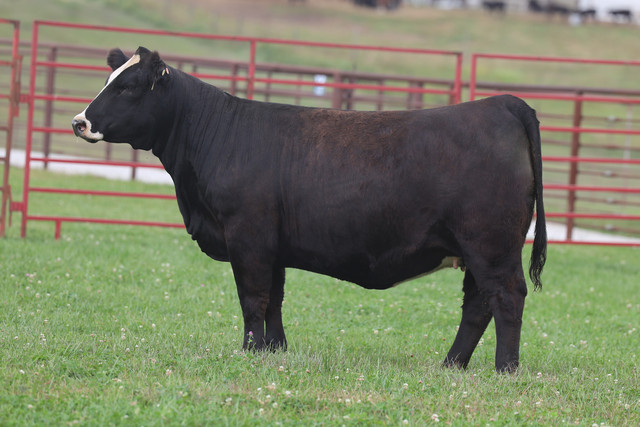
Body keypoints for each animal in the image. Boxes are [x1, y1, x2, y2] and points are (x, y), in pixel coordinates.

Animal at [72, 47, 547, 373]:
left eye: (128, 86)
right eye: (109, 79)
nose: (79, 121)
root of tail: (502, 103)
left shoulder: (247, 236)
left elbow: (253, 298)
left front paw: (249, 350)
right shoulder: (272, 246)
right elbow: (275, 299)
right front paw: (274, 349)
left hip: (491, 246)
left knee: (506, 297)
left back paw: (505, 369)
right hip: (476, 250)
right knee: (476, 306)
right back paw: (451, 365)